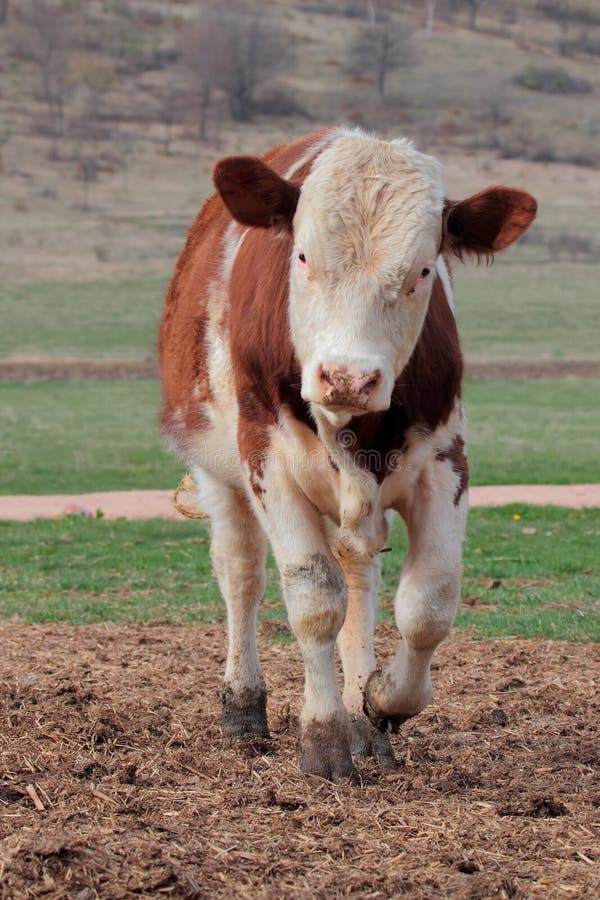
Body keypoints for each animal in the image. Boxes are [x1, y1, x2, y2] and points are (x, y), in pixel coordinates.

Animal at [159, 127, 536, 781]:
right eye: (303, 257)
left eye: (423, 269)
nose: (347, 377)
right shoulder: (269, 465)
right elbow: (314, 597)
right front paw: (324, 736)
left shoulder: (445, 464)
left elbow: (429, 603)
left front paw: (380, 700)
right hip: (217, 473)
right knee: (241, 573)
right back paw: (244, 705)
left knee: (360, 574)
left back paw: (366, 721)